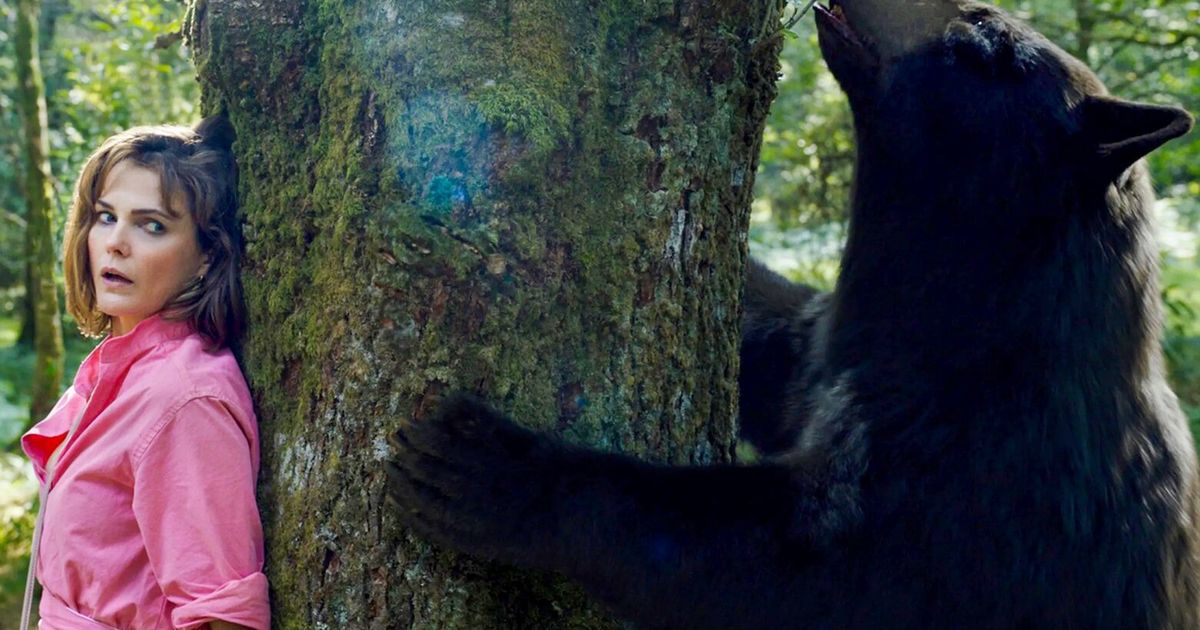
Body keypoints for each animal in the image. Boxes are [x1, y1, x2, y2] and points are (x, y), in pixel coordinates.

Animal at [386, 0, 1199, 627]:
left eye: (984, 42)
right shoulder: (828, 352)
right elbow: (775, 341)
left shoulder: (962, 497)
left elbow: (753, 557)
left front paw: (496, 473)